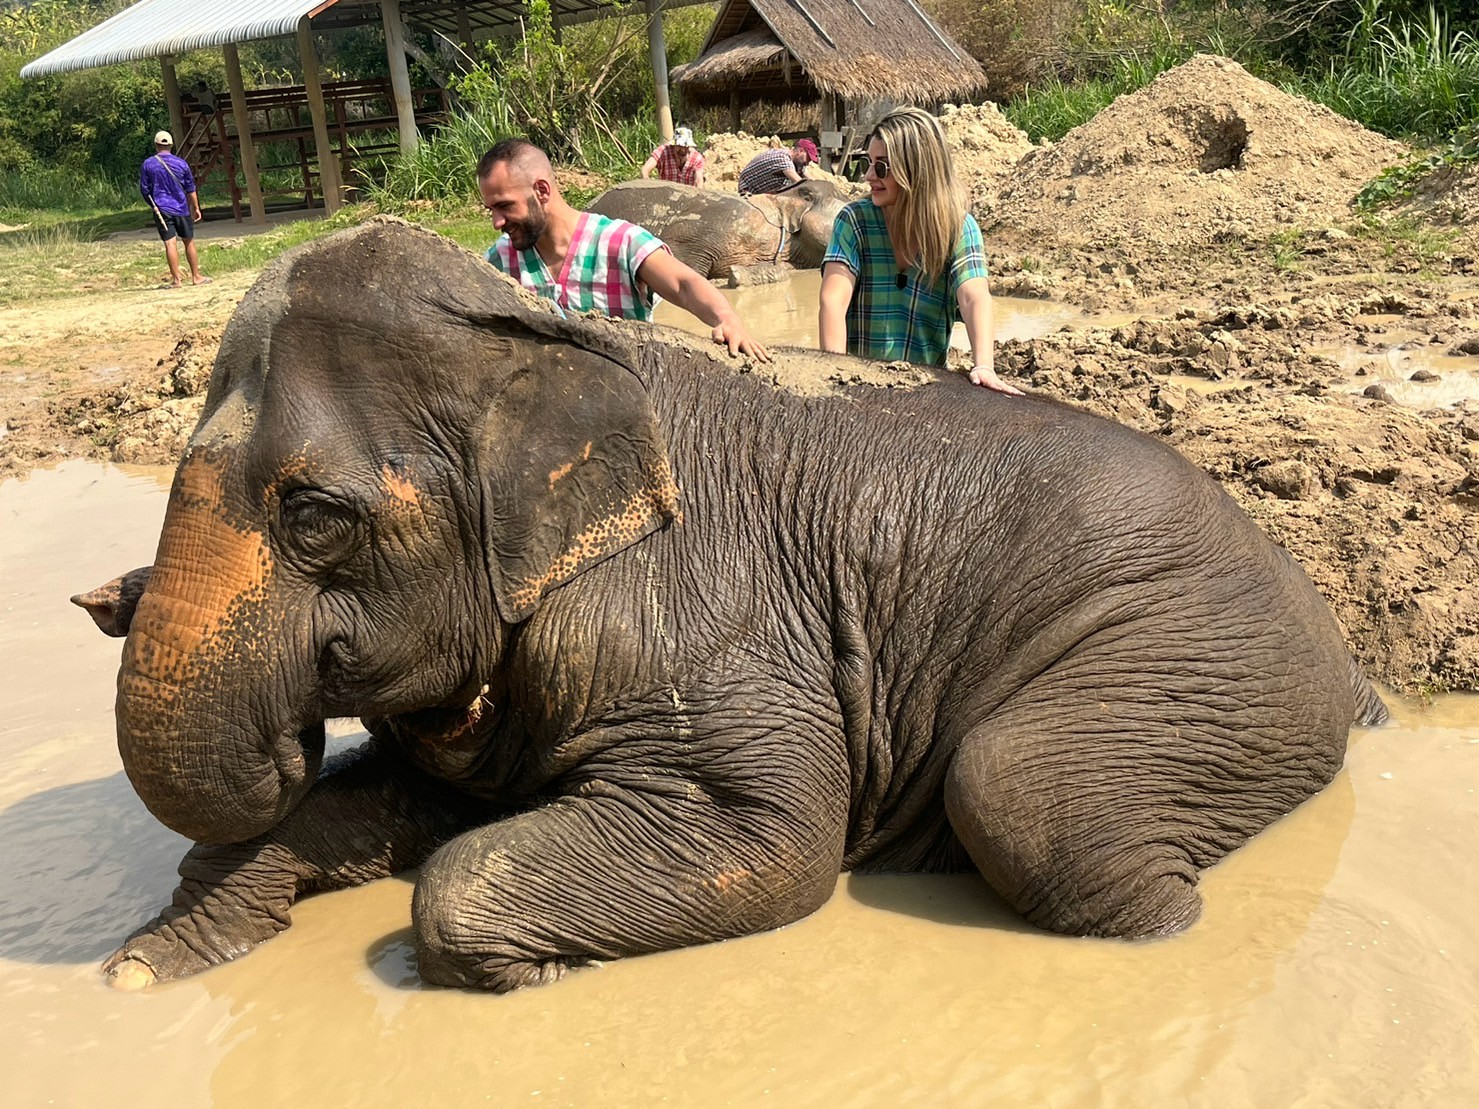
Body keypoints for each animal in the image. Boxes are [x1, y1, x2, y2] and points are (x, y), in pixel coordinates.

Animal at [78, 217, 1386, 993]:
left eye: (314, 518)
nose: (103, 596)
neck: (537, 344)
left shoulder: (699, 620)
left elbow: (770, 837)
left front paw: (519, 971)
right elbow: (393, 798)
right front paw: (146, 964)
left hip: (1208, 652)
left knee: (1026, 794)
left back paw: (1164, 929)